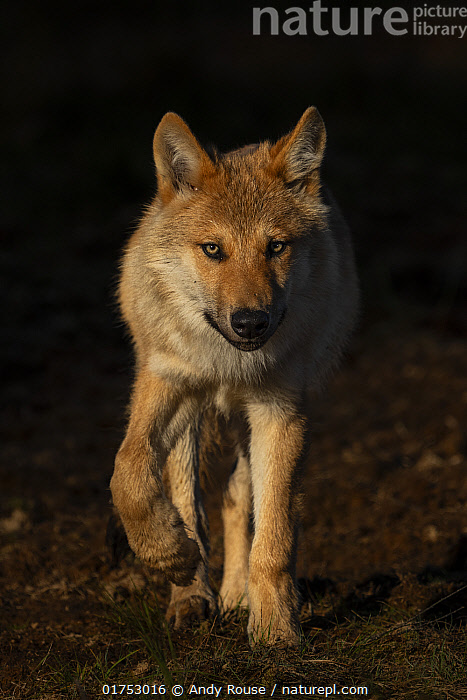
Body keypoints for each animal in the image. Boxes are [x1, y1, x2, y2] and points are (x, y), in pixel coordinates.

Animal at [109, 107, 359, 645]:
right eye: (212, 249)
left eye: (276, 247)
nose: (249, 322)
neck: (229, 362)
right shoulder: (166, 379)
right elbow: (129, 476)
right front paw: (172, 558)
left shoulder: (280, 411)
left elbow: (274, 536)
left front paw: (274, 628)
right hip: (191, 419)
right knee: (189, 497)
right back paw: (191, 595)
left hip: (248, 425)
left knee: (238, 498)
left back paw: (234, 596)